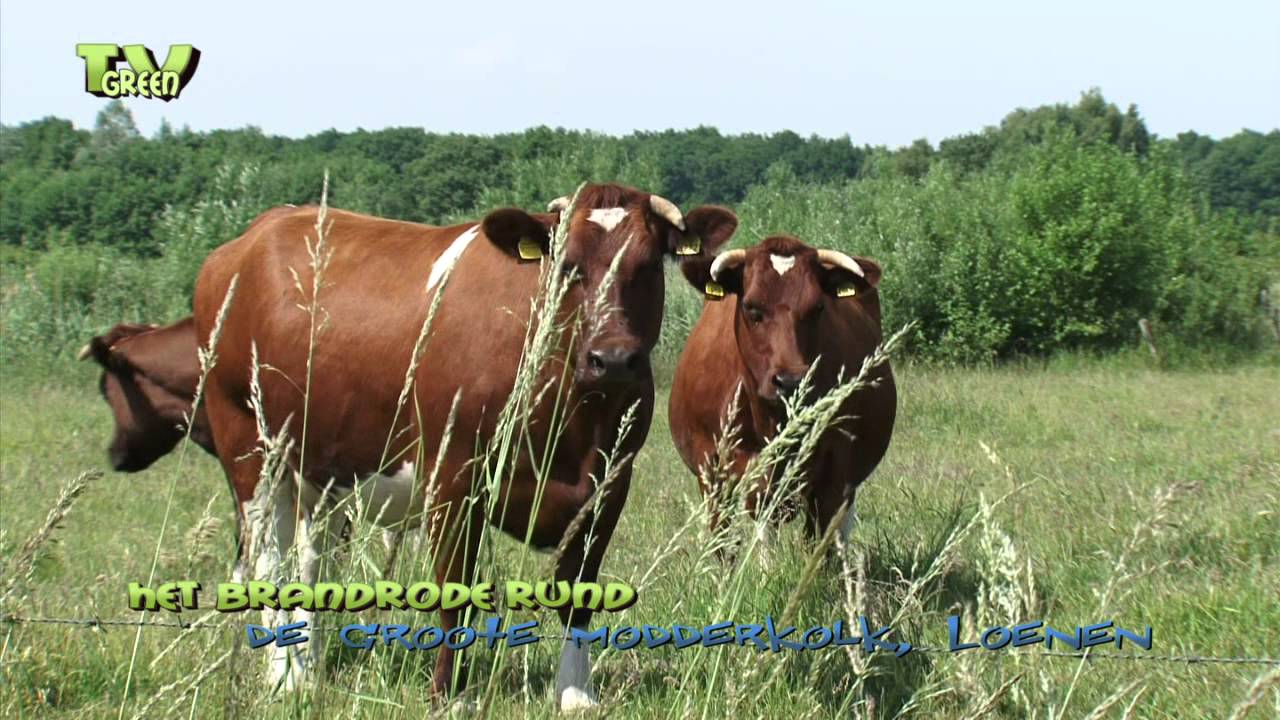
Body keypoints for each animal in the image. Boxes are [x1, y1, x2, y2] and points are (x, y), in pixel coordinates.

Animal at [191, 186, 738, 709]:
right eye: (567, 265)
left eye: (648, 265)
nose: (614, 358)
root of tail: (257, 232)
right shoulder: (453, 478)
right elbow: (456, 592)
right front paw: (449, 695)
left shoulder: (609, 485)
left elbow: (576, 591)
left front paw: (575, 694)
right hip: (250, 446)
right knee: (270, 560)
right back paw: (286, 676)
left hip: (322, 469)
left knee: (313, 561)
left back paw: (310, 664)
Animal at [668, 235, 896, 549]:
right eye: (751, 308)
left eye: (818, 308)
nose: (789, 380)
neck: (769, 420)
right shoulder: (713, 472)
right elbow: (730, 542)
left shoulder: (834, 473)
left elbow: (819, 544)